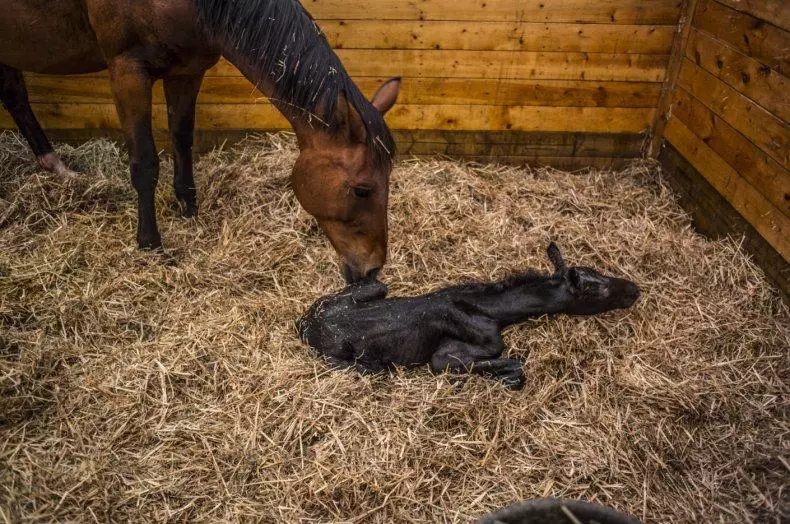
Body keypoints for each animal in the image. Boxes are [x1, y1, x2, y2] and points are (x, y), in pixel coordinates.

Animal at [0, 0, 396, 282]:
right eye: (362, 190)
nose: (372, 269)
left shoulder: (187, 70)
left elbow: (182, 138)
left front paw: (188, 207)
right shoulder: (127, 72)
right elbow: (145, 162)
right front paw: (150, 243)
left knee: (14, 94)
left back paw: (57, 167)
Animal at [300, 243, 640, 388]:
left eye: (599, 272)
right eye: (594, 290)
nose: (635, 289)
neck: (493, 311)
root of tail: (305, 324)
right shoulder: (442, 359)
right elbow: (516, 366)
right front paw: (505, 380)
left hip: (374, 287)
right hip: (361, 363)